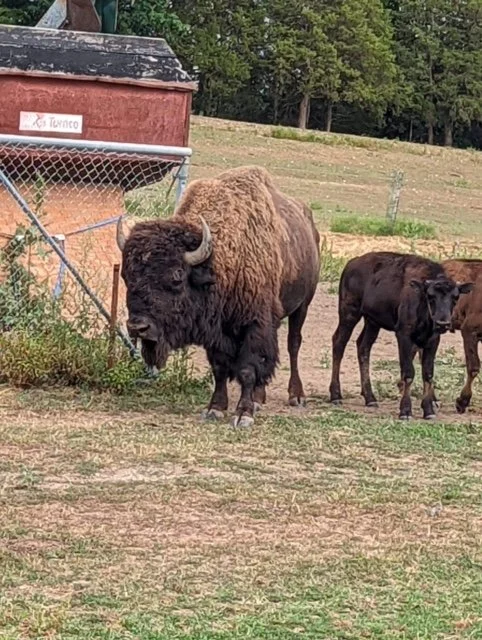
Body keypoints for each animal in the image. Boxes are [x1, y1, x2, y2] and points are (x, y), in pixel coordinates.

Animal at [116, 166, 320, 426]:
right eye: (126, 276)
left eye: (177, 275)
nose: (138, 327)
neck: (219, 261)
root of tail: (310, 226)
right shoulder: (217, 332)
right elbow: (221, 369)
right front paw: (215, 408)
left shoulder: (255, 325)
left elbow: (248, 368)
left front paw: (244, 414)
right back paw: (259, 398)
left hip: (302, 306)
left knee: (293, 345)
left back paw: (296, 396)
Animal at [329, 251, 473, 420]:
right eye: (430, 296)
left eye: (455, 297)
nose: (443, 323)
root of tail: (352, 263)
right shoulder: (404, 336)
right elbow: (408, 372)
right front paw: (405, 411)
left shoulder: (432, 340)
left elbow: (428, 373)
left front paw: (429, 411)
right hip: (349, 313)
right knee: (339, 343)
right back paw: (336, 396)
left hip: (372, 322)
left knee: (363, 347)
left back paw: (370, 398)